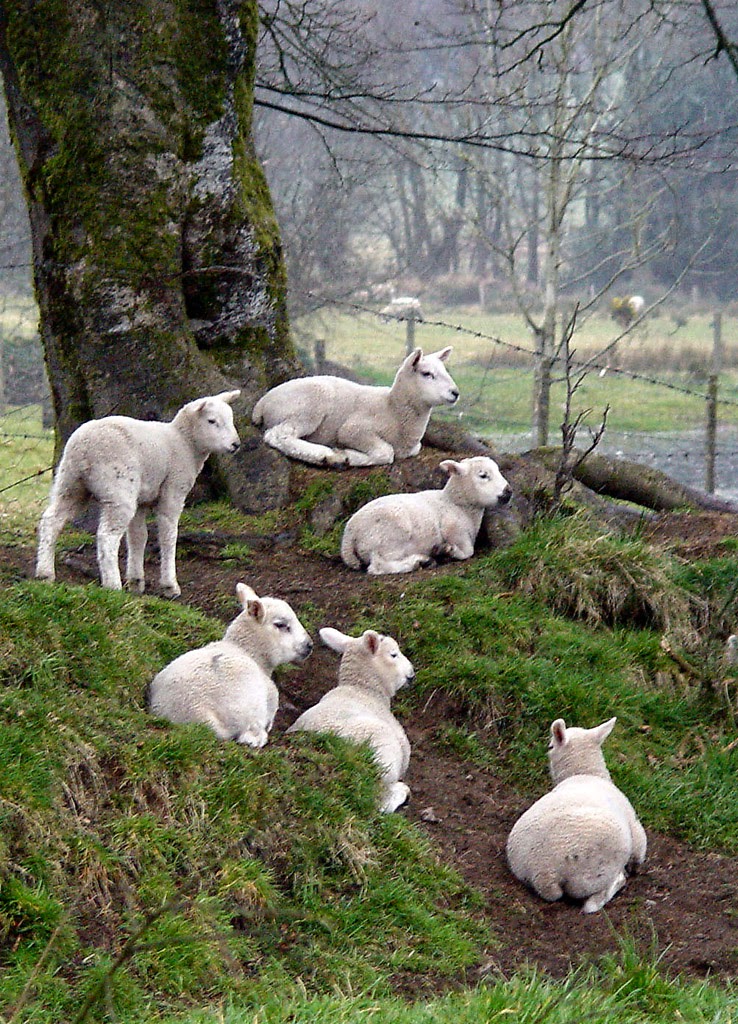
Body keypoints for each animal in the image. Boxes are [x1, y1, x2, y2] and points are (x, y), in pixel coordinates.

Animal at [35, 391, 241, 597]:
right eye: (212, 421)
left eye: (231, 419)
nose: (236, 444)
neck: (184, 443)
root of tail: (84, 446)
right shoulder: (173, 491)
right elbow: (168, 536)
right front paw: (170, 585)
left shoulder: (142, 499)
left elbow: (138, 537)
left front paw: (136, 581)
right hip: (118, 489)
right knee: (107, 536)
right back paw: (112, 584)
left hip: (69, 482)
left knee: (51, 521)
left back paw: (45, 573)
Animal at [251, 347, 459, 468]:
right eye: (427, 374)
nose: (455, 392)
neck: (392, 409)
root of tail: (261, 404)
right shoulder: (353, 429)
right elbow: (386, 452)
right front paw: (348, 456)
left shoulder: (414, 446)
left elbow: (413, 449)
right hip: (310, 404)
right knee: (277, 435)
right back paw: (324, 455)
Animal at [341, 456, 512, 575]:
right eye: (483, 475)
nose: (508, 491)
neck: (456, 504)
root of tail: (348, 535)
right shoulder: (455, 531)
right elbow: (468, 552)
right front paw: (447, 551)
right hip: (388, 537)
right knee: (378, 565)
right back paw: (419, 562)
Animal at [506, 717, 647, 914]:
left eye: (550, 746)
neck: (587, 773)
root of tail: (544, 873)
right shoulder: (636, 832)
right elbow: (639, 854)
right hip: (594, 871)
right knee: (596, 899)